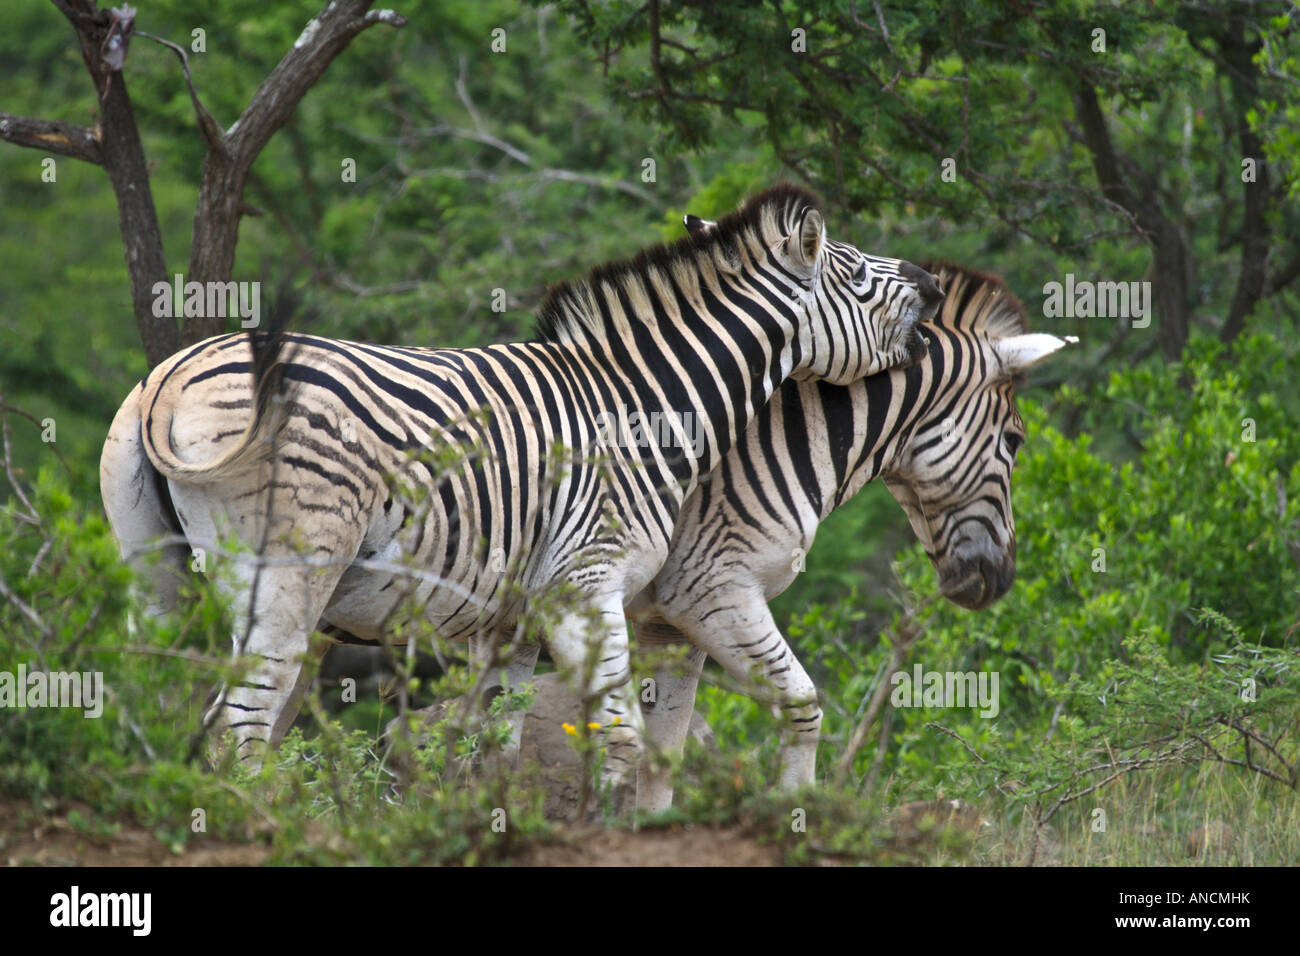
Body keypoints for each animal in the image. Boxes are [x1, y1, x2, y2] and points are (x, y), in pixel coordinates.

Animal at [99, 185, 943, 788]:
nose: (933, 281)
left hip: (153, 566)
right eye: (856, 274)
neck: (642, 403)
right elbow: (620, 740)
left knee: (150, 696)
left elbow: (491, 748)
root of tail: (169, 381)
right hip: (285, 571)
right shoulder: (585, 584)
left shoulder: (509, 622)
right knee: (241, 718)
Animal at [470, 248, 1076, 810]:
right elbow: (798, 709)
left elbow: (664, 755)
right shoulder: (708, 589)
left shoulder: (666, 620)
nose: (996, 581)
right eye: (1015, 441)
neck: (784, 442)